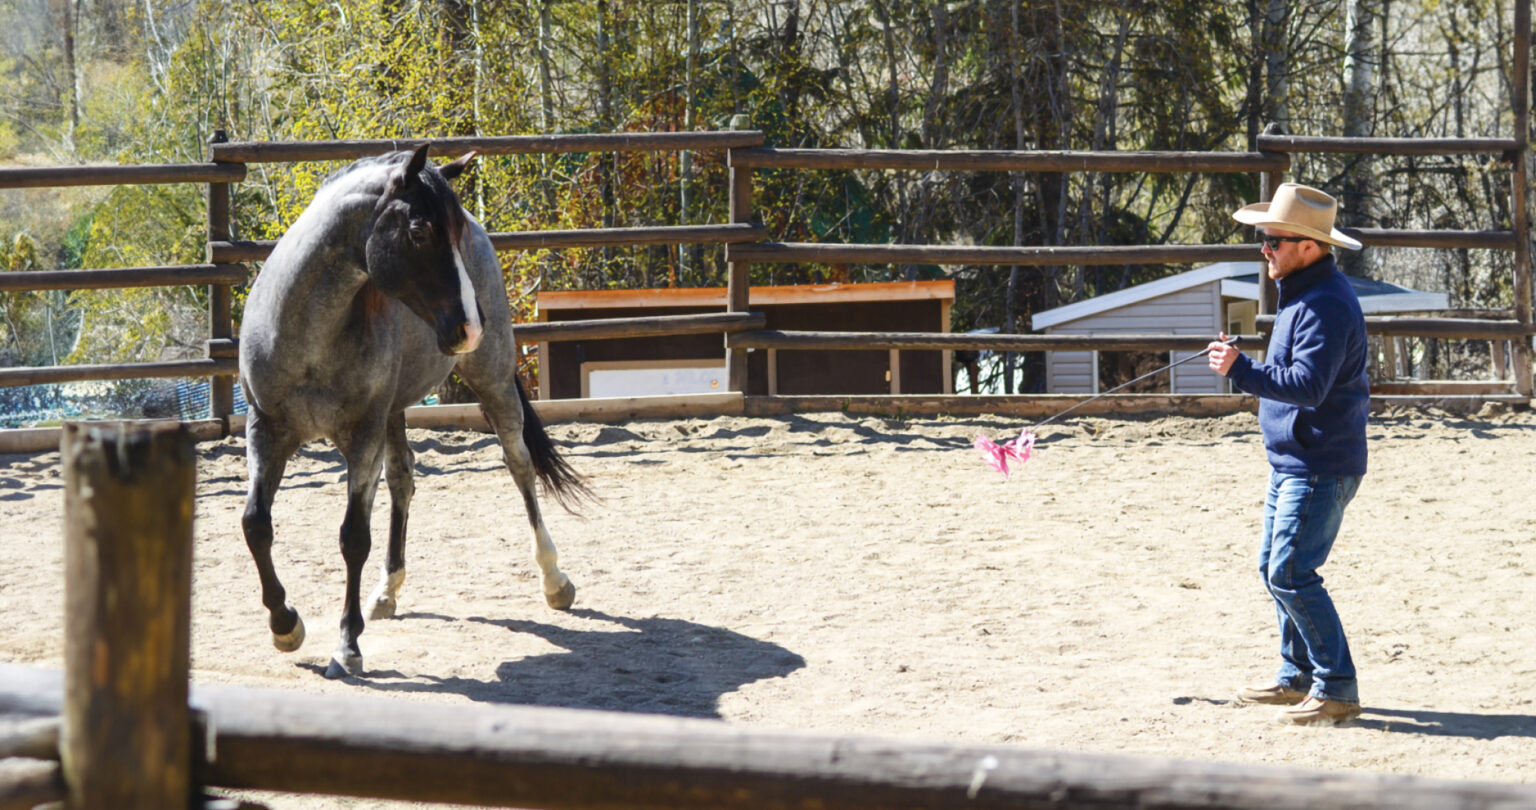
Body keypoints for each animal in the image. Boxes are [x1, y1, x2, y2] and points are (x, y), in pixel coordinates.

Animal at [238, 144, 588, 679]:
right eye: (420, 232)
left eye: (452, 237)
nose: (469, 325)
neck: (308, 338)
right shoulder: (266, 430)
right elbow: (256, 524)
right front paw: (285, 625)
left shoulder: (361, 437)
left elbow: (353, 538)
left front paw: (347, 645)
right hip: (394, 412)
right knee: (404, 479)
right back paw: (386, 592)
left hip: (491, 381)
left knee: (519, 465)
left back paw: (554, 578)